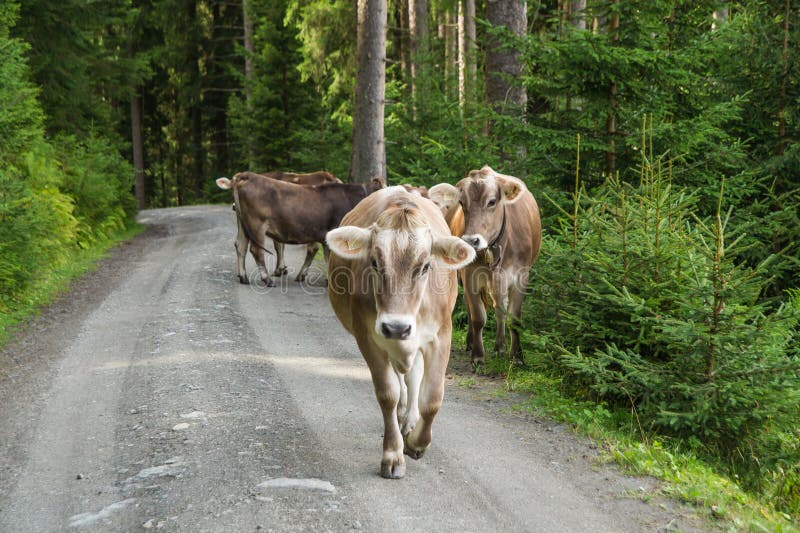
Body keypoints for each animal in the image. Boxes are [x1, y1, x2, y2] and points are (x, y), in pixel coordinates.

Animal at [215, 172, 382, 286]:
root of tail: (246, 175)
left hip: (243, 223)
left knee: (240, 246)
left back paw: (243, 277)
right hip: (257, 224)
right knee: (256, 250)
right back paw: (267, 279)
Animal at [326, 187, 475, 479]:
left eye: (426, 266)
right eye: (374, 262)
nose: (396, 326)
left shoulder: (441, 335)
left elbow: (433, 397)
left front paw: (417, 443)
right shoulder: (368, 336)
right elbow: (388, 393)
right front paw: (393, 454)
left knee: (414, 376)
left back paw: (410, 420)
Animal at [428, 166, 541, 367]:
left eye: (492, 202)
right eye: (462, 202)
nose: (471, 241)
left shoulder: (521, 276)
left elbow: (514, 317)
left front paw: (517, 356)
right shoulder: (470, 275)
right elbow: (478, 317)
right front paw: (478, 355)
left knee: (500, 307)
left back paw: (500, 347)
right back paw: (472, 343)